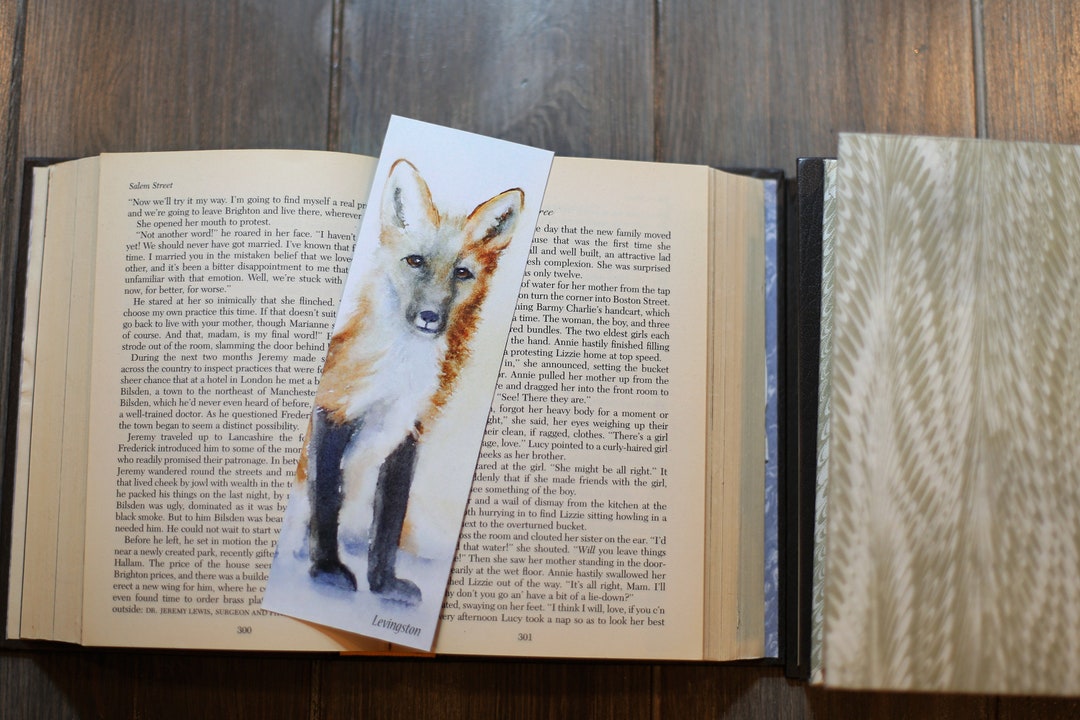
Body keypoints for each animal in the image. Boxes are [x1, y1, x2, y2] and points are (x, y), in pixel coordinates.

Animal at [298, 158, 523, 604]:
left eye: (462, 272)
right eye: (415, 261)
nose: (430, 318)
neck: (401, 374)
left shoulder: (407, 433)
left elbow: (388, 521)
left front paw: (384, 585)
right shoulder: (333, 408)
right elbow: (327, 498)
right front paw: (327, 570)